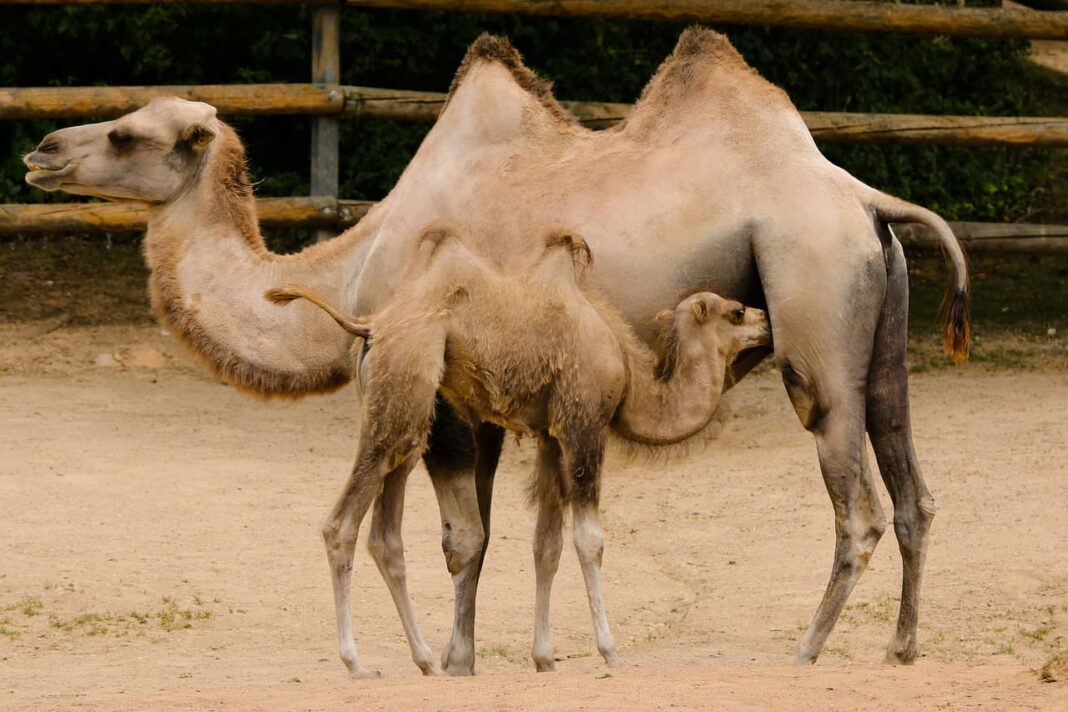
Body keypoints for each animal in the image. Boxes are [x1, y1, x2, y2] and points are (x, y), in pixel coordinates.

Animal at [264, 226, 769, 675]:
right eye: (736, 311)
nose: (766, 321)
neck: (627, 375)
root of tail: (371, 324)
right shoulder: (584, 425)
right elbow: (590, 540)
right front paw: (609, 651)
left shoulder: (550, 436)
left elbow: (546, 543)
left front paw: (544, 657)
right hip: (404, 390)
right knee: (341, 525)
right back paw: (357, 663)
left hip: (405, 413)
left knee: (386, 534)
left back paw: (427, 660)